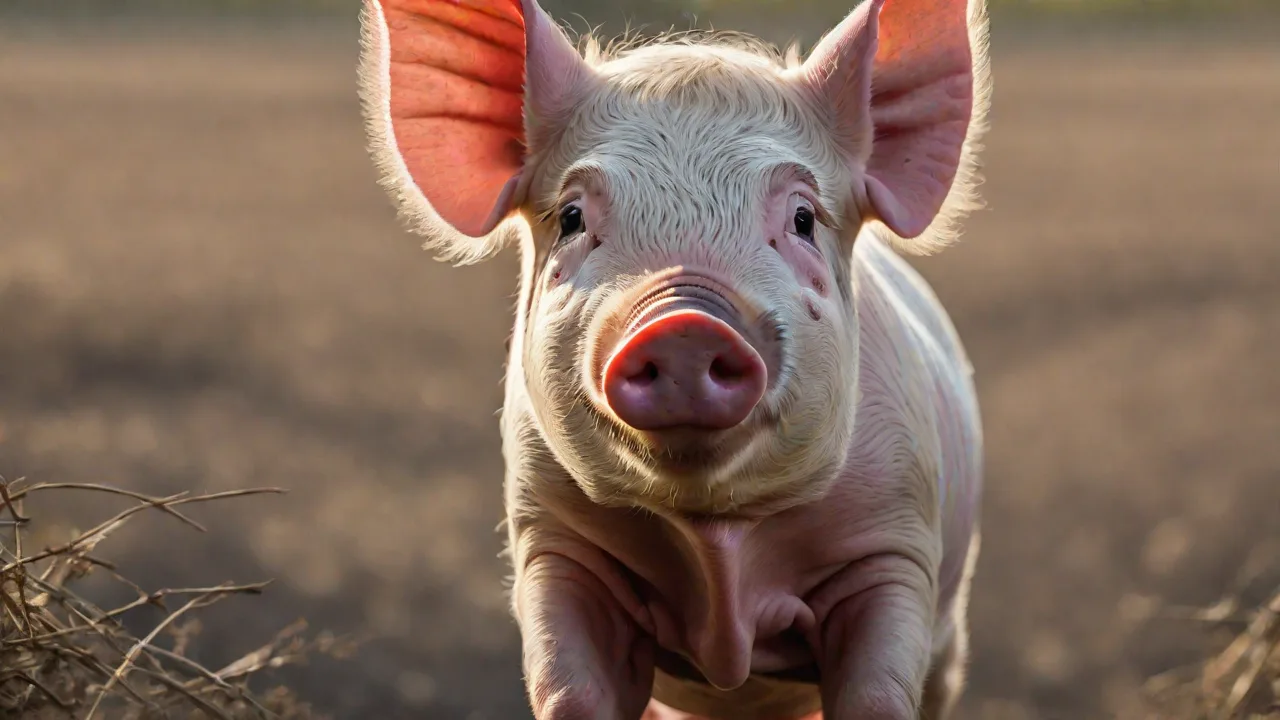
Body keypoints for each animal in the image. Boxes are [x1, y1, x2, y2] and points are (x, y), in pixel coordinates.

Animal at [356, 0, 990, 717]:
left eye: (802, 219)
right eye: (571, 217)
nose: (684, 322)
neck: (717, 544)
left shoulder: (894, 546)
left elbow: (877, 695)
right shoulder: (553, 541)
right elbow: (570, 691)